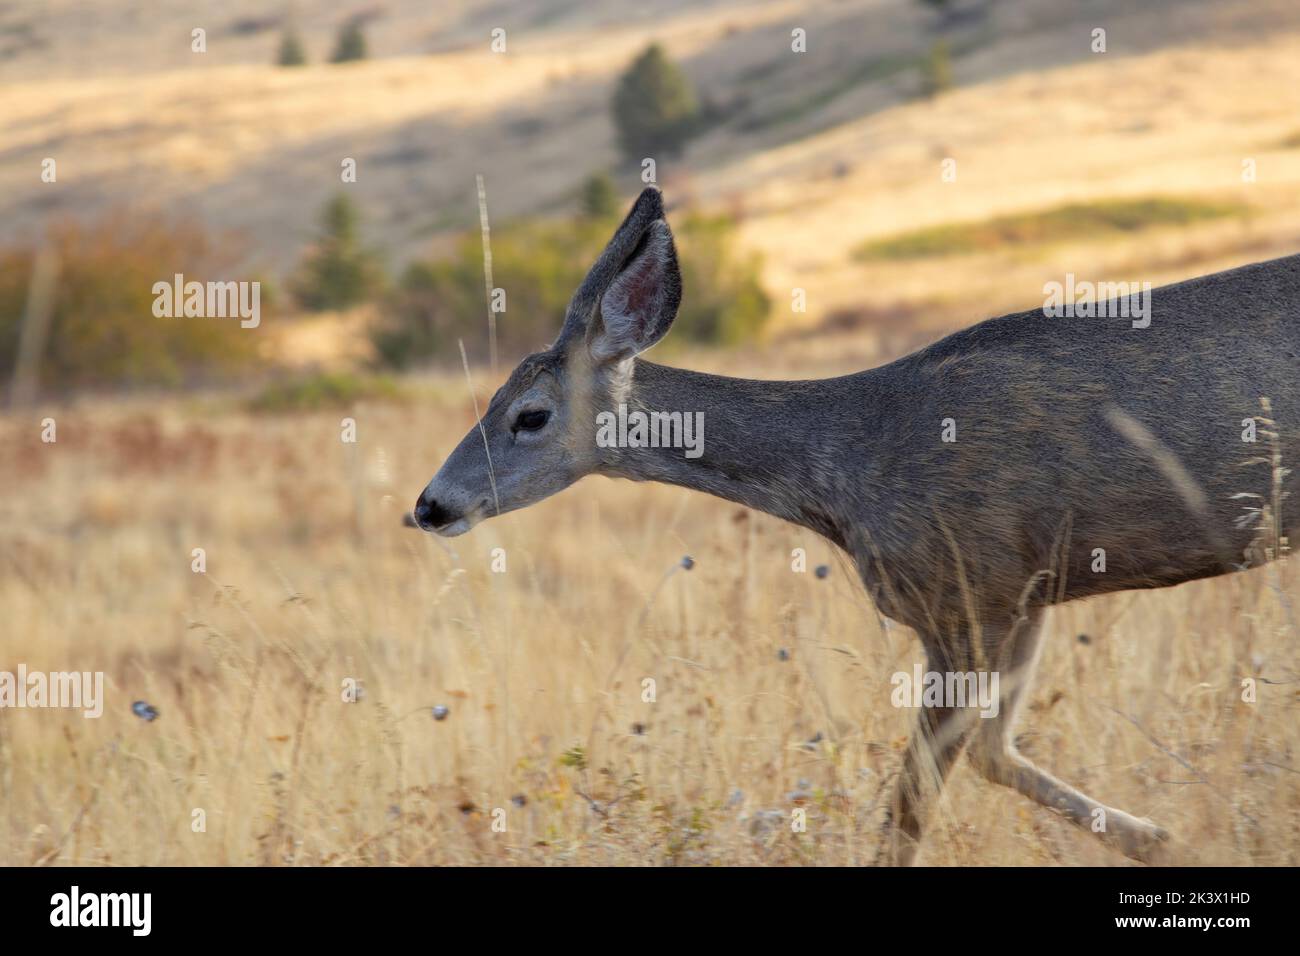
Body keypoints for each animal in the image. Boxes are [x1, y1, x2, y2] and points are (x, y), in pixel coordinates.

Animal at [413, 187, 1299, 865]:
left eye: (530, 415)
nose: (431, 504)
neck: (848, 462)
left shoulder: (970, 592)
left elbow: (911, 805)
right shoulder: (1020, 596)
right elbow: (994, 754)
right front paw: (1169, 839)